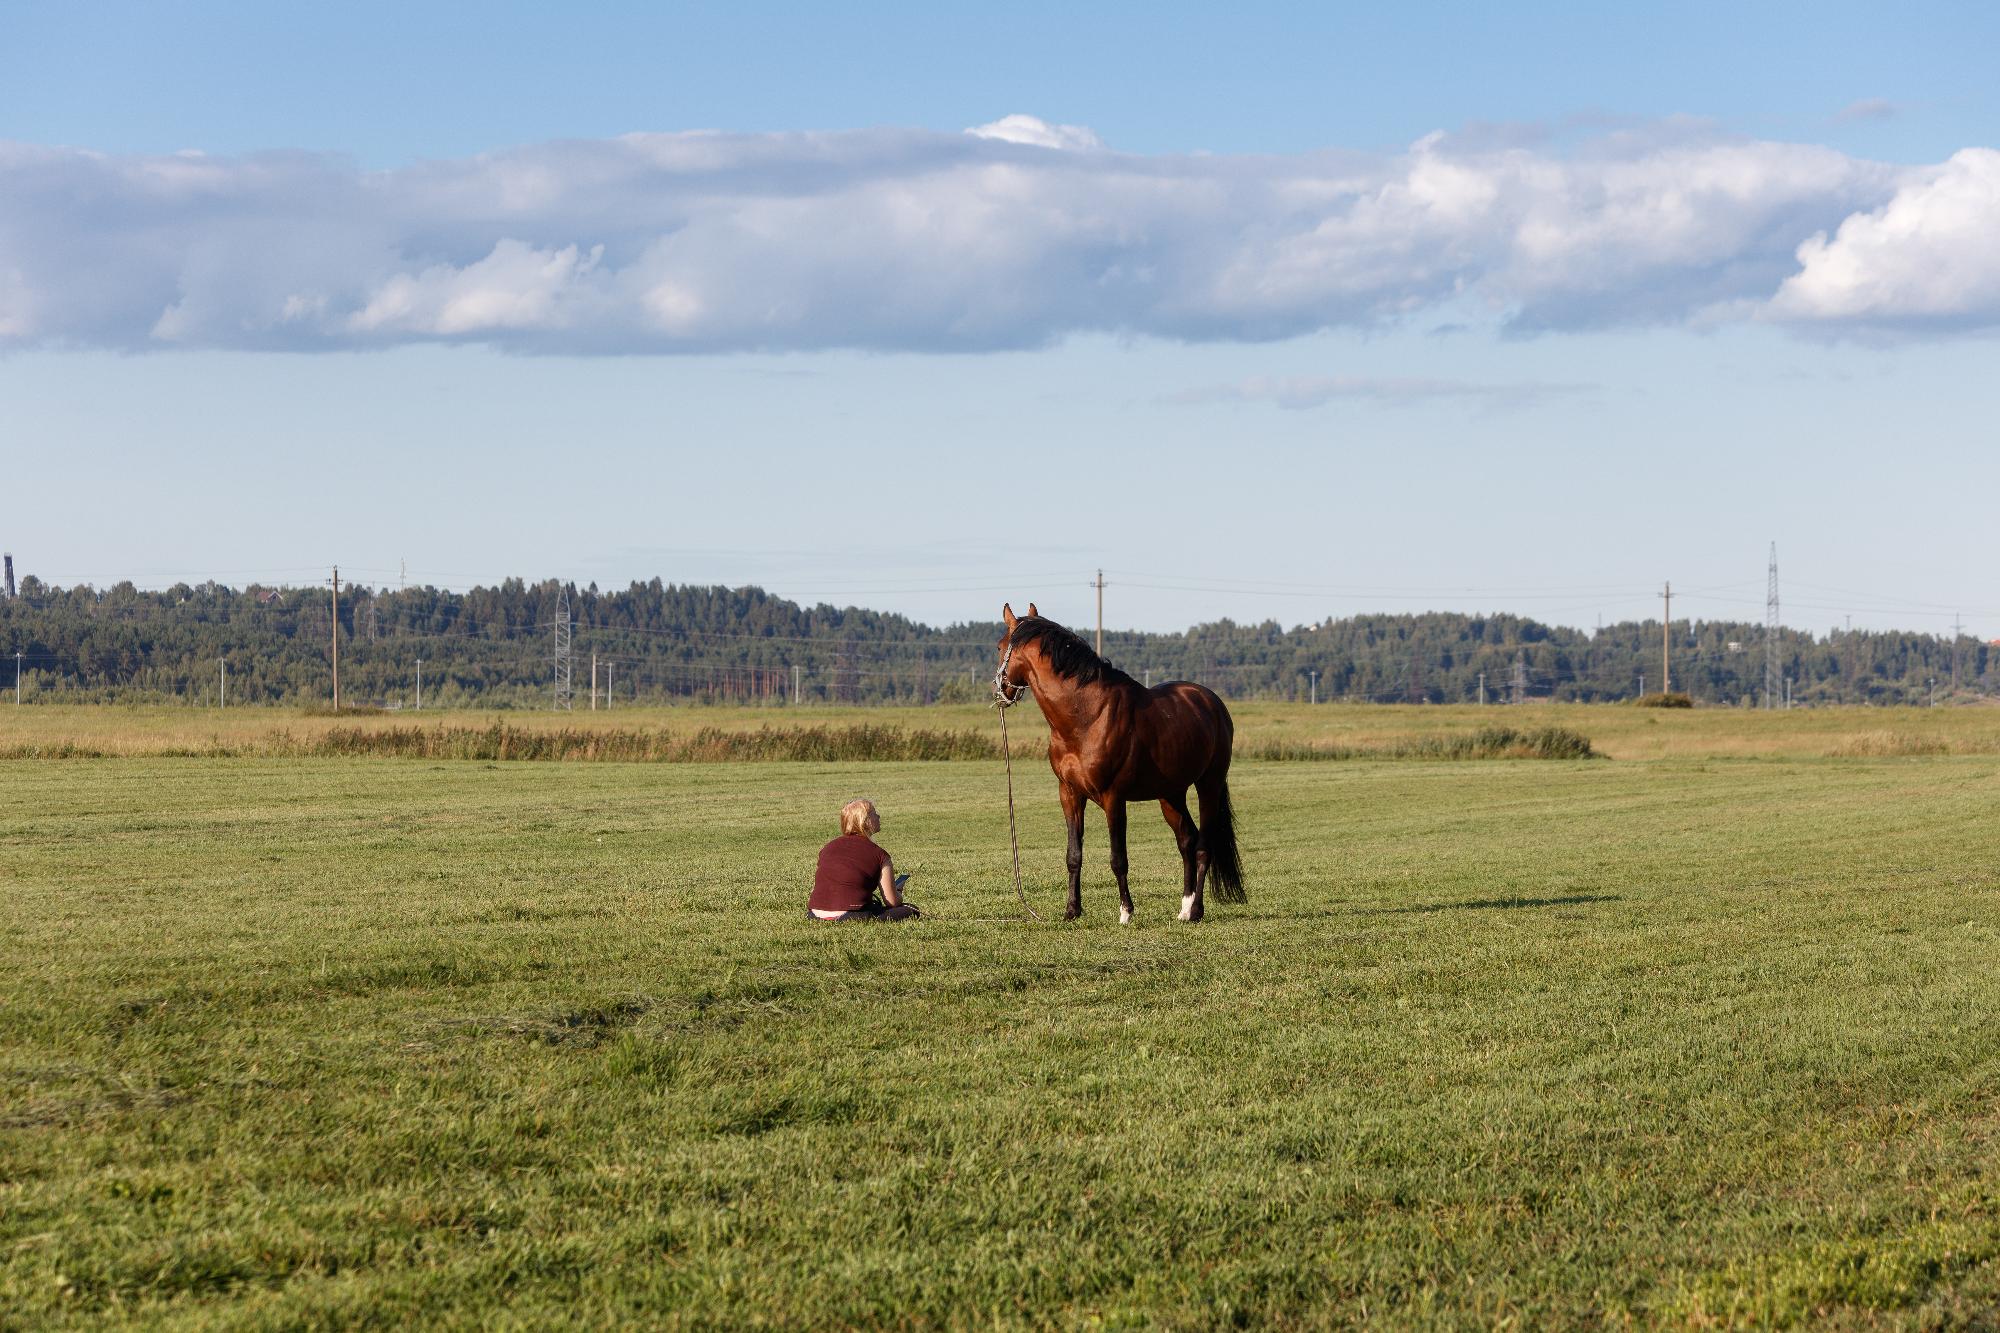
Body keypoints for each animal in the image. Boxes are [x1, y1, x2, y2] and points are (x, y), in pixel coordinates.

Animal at [992, 608, 1240, 920]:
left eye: (999, 647)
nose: (999, 691)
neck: (1087, 716)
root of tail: (1211, 702)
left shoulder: (1113, 797)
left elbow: (1118, 858)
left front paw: (1126, 911)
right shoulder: (1069, 794)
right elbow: (1074, 855)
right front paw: (1072, 910)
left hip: (1209, 784)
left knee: (1204, 847)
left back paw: (1195, 910)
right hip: (1171, 794)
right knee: (1187, 840)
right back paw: (1184, 908)